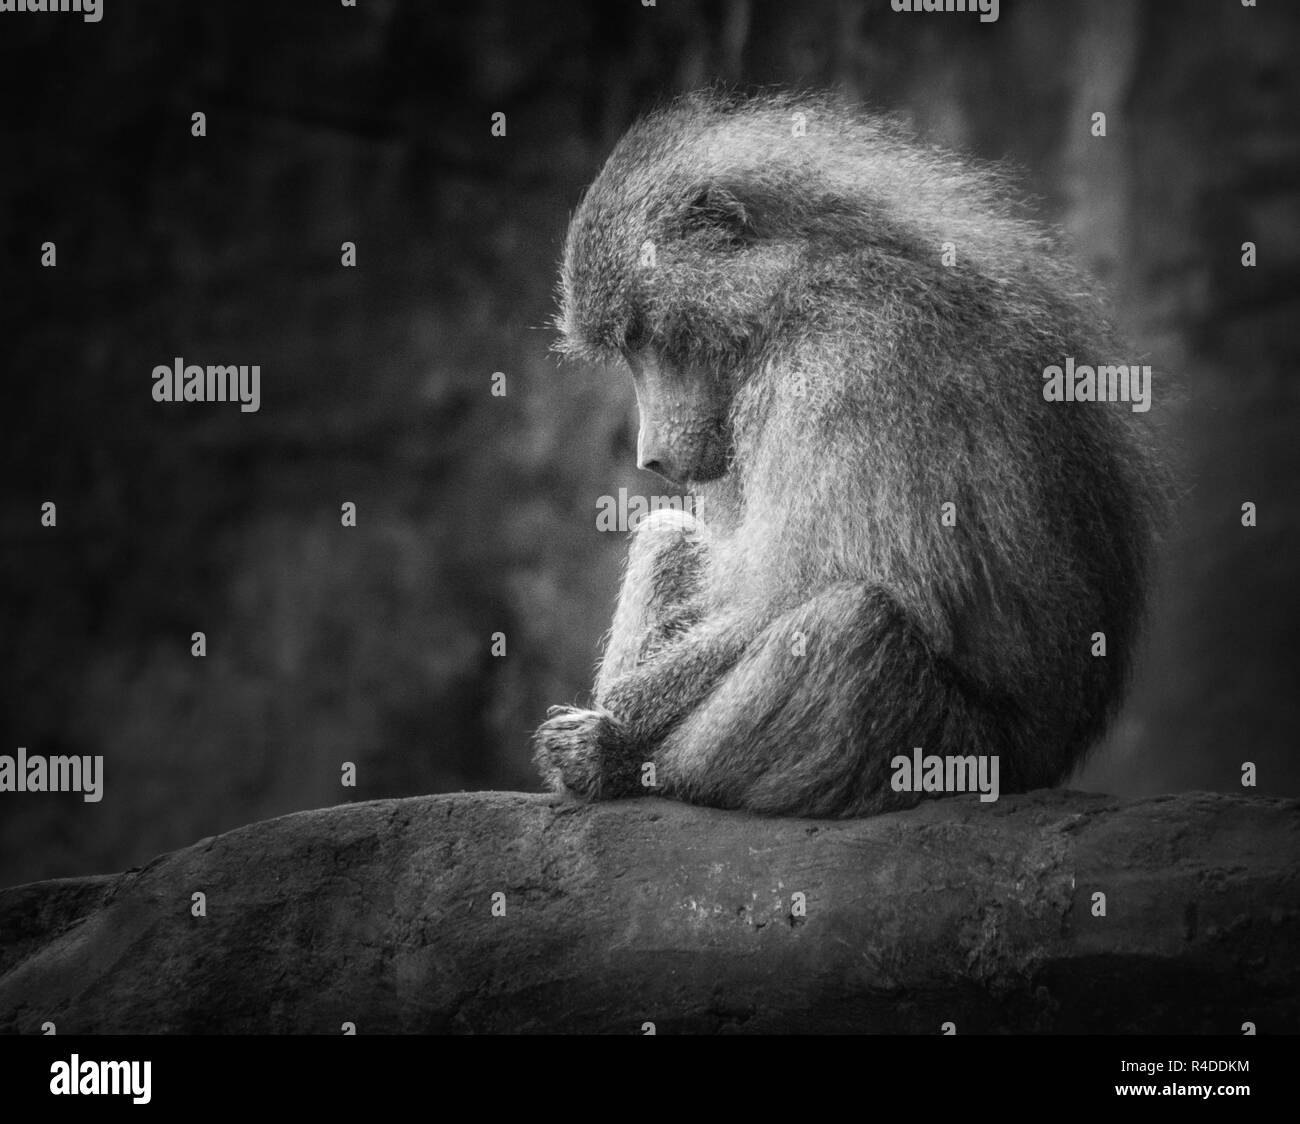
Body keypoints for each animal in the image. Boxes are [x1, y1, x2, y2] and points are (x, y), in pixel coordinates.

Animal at [533, 90, 1166, 817]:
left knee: (855, 625)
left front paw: (616, 721)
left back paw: (630, 766)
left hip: (952, 751)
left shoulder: (844, 363)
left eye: (644, 337)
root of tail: (1039, 768)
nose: (651, 459)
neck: (797, 291)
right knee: (673, 533)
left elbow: (812, 585)